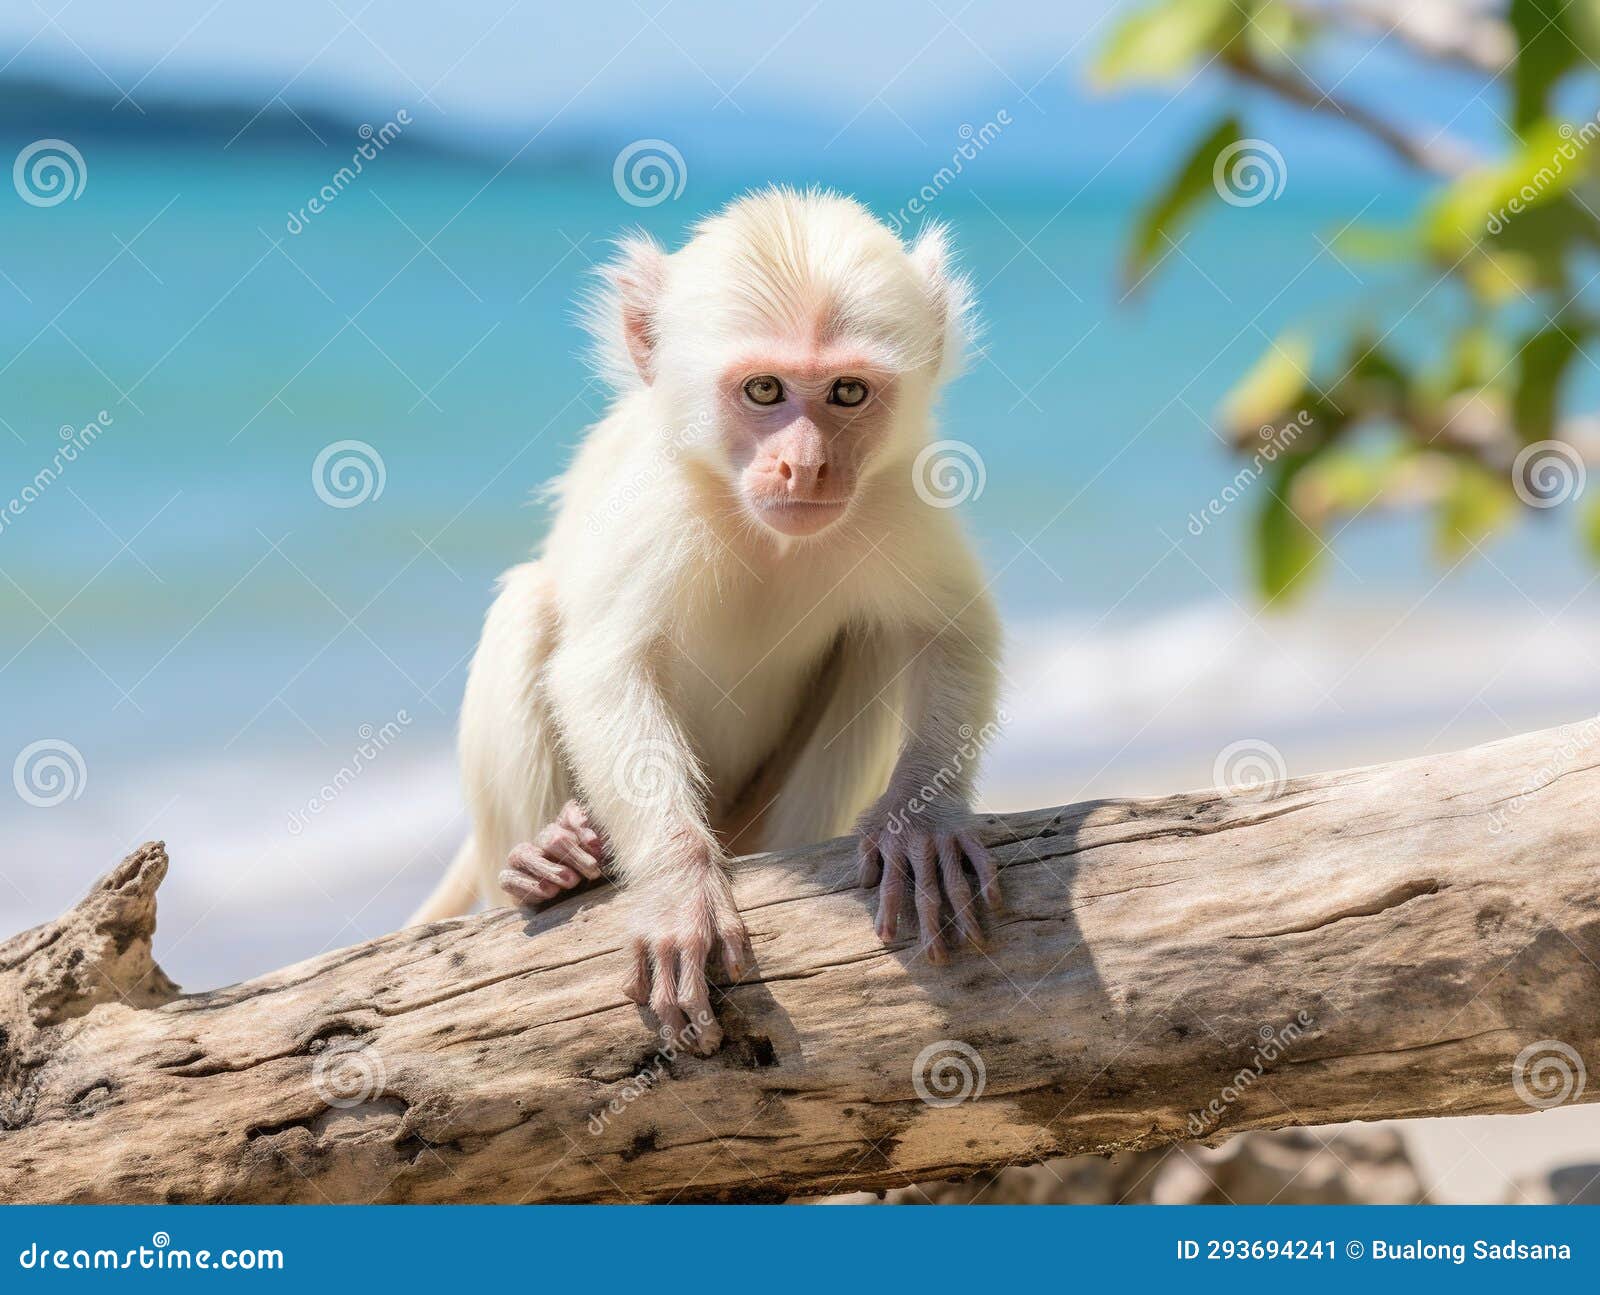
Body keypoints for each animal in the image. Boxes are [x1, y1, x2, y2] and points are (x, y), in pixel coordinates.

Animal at [409, 187, 1002, 1054]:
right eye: (764, 392)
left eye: (846, 393)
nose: (806, 465)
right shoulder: (663, 506)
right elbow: (603, 670)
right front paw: (677, 884)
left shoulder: (890, 495)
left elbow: (950, 629)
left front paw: (918, 821)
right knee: (529, 606)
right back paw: (545, 860)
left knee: (867, 642)